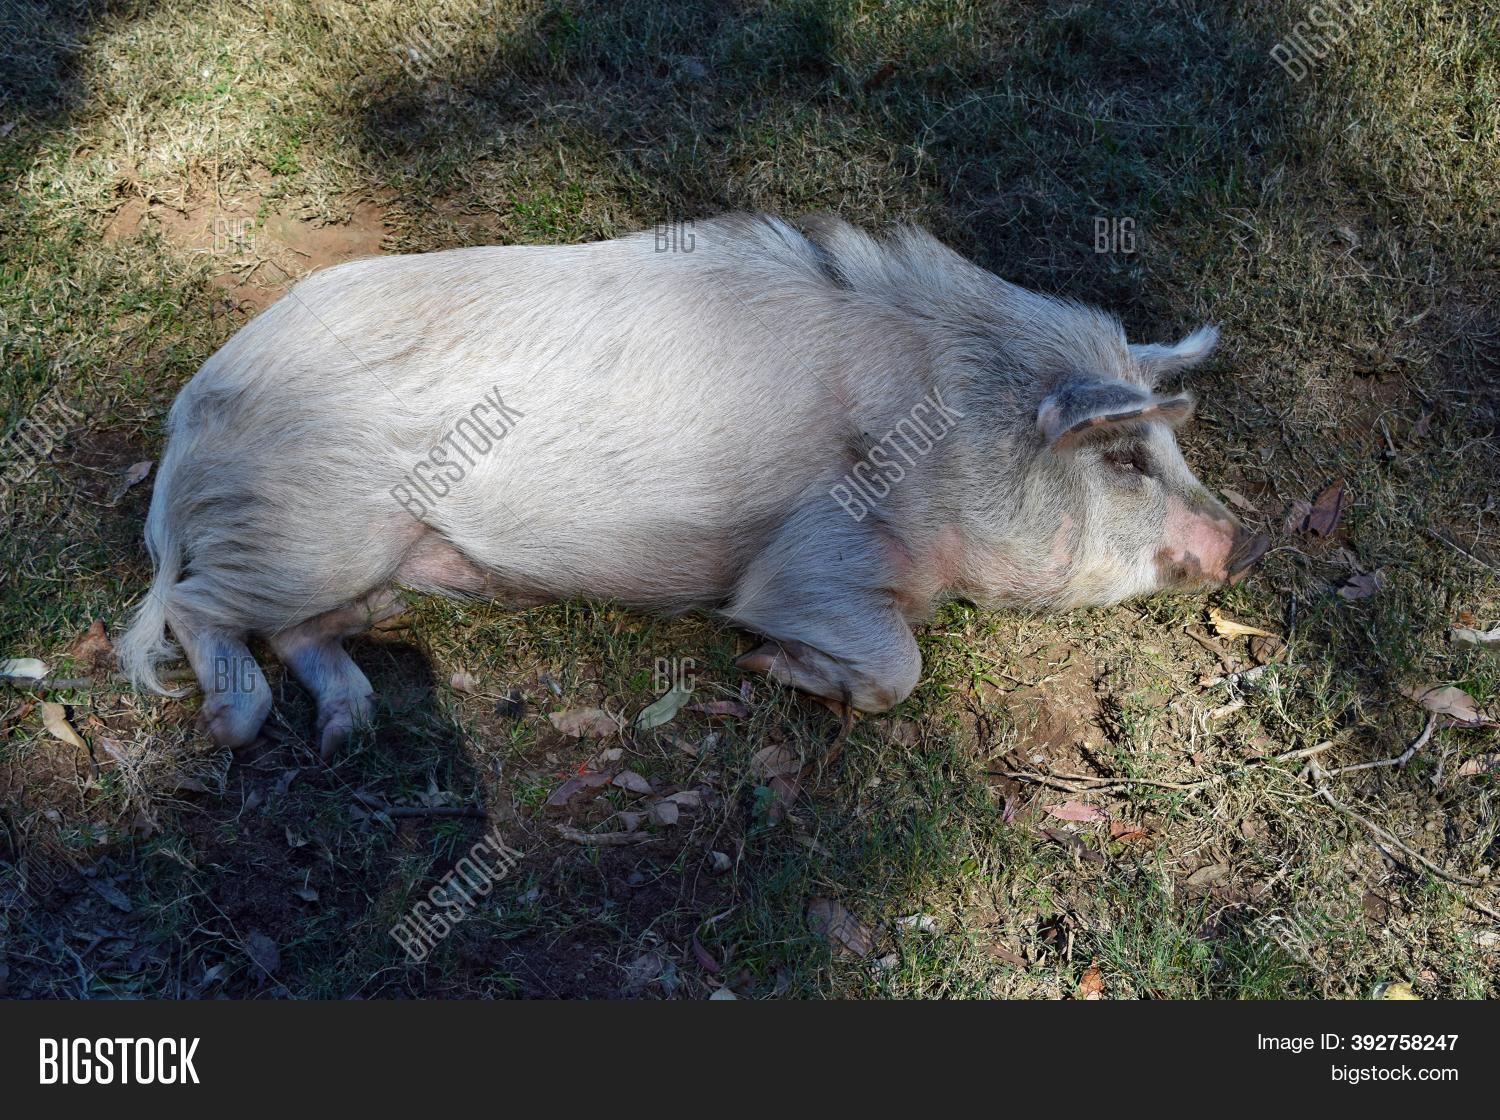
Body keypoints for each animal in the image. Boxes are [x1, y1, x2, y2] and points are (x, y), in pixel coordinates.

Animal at [116, 213, 1267, 758]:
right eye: (1122, 457)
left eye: (1168, 450)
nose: (1240, 540)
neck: (946, 439)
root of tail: (196, 405)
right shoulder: (810, 560)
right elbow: (896, 667)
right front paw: (766, 664)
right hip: (318, 531)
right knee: (193, 605)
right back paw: (237, 727)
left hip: (354, 560)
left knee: (302, 629)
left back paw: (355, 720)